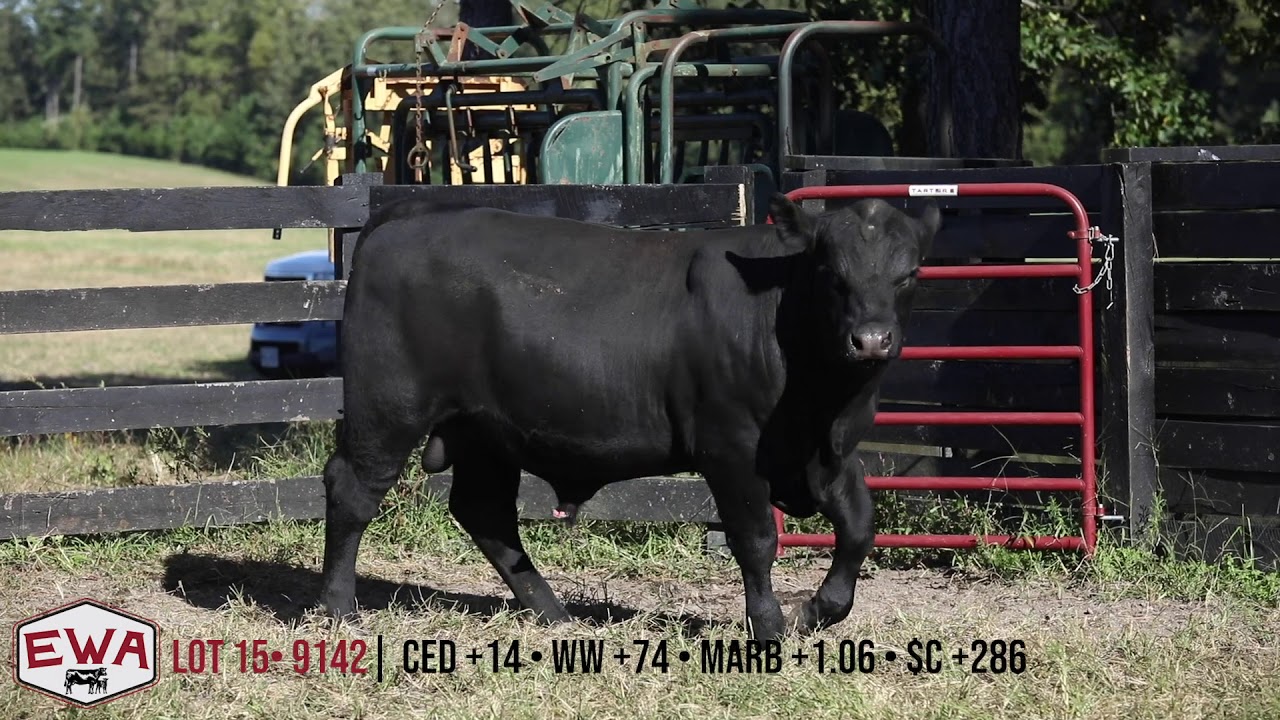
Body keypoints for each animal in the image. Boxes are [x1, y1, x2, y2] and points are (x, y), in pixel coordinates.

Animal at [319, 192, 940, 641]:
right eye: (831, 272)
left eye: (909, 273)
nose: (871, 340)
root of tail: (406, 213)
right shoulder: (732, 449)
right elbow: (757, 539)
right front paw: (768, 628)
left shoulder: (827, 453)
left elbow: (859, 526)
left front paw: (817, 610)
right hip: (388, 409)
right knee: (353, 490)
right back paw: (338, 608)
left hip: (484, 431)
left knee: (485, 512)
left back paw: (552, 612)